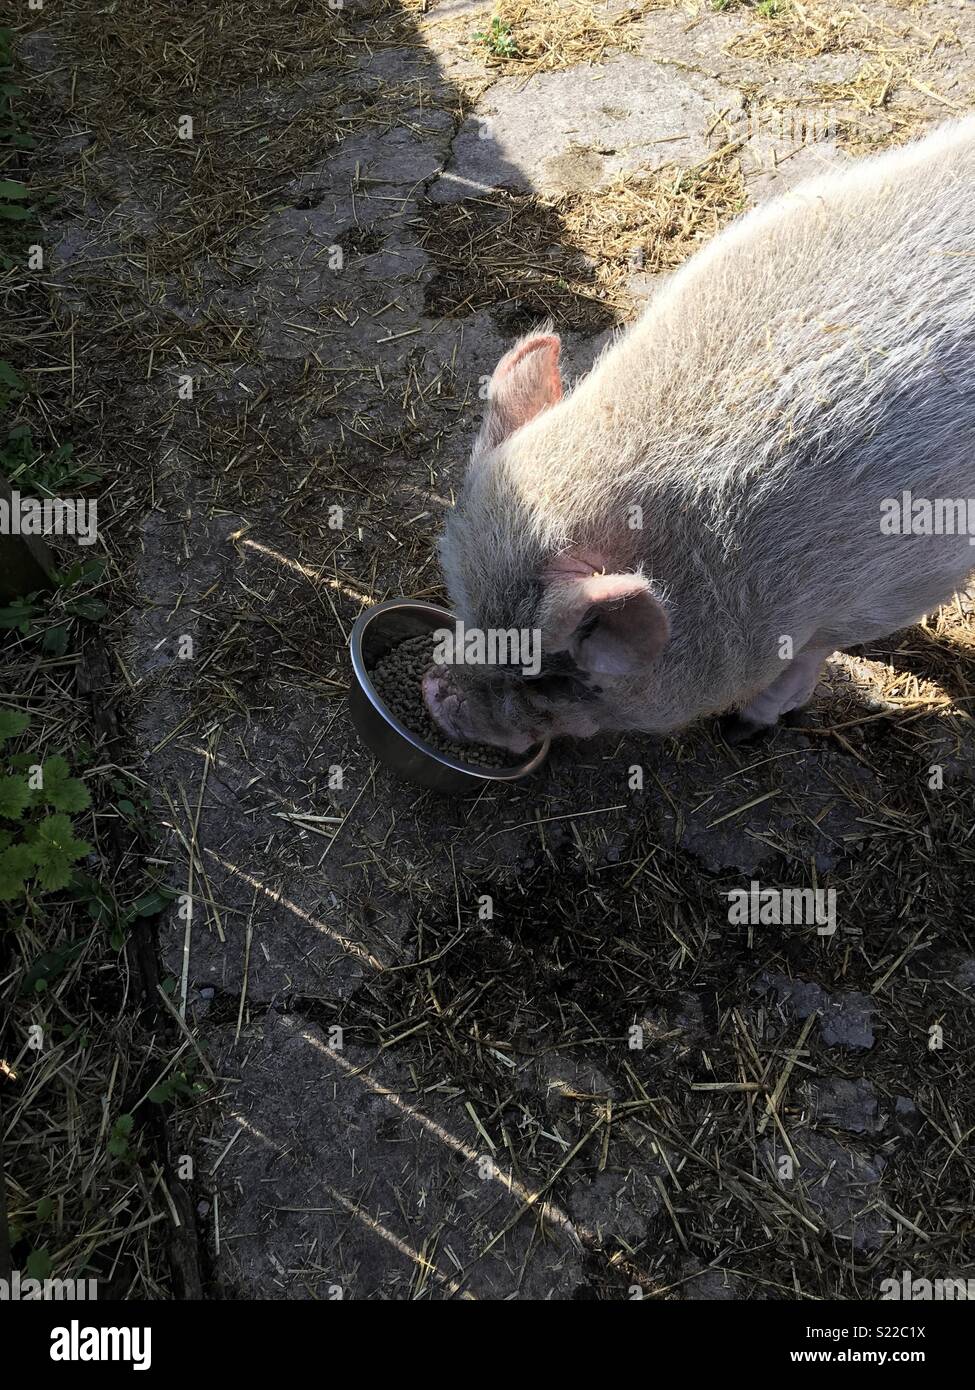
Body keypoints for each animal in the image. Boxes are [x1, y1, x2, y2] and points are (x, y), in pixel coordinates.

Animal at [423, 117, 975, 753]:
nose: (436, 694)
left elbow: (814, 654)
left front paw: (746, 727)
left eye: (545, 678)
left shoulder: (909, 580)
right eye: (462, 608)